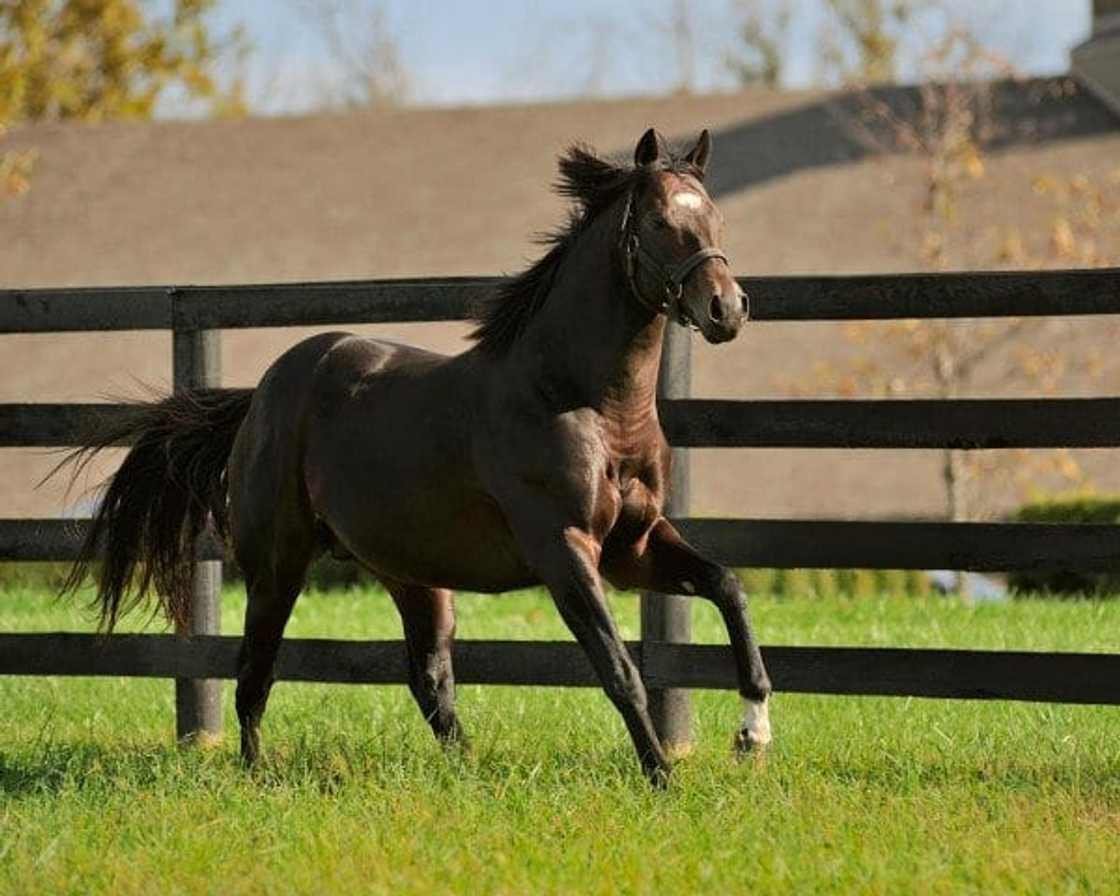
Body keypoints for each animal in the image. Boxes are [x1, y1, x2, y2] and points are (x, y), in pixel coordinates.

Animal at [61, 127, 772, 786]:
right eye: (659, 221)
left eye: (715, 218)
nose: (726, 309)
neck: (584, 401)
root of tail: (262, 396)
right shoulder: (565, 549)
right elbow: (620, 668)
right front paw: (663, 778)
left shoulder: (635, 546)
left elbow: (728, 587)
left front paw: (753, 733)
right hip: (278, 563)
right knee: (253, 671)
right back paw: (255, 773)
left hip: (412, 574)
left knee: (428, 678)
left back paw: (467, 772)